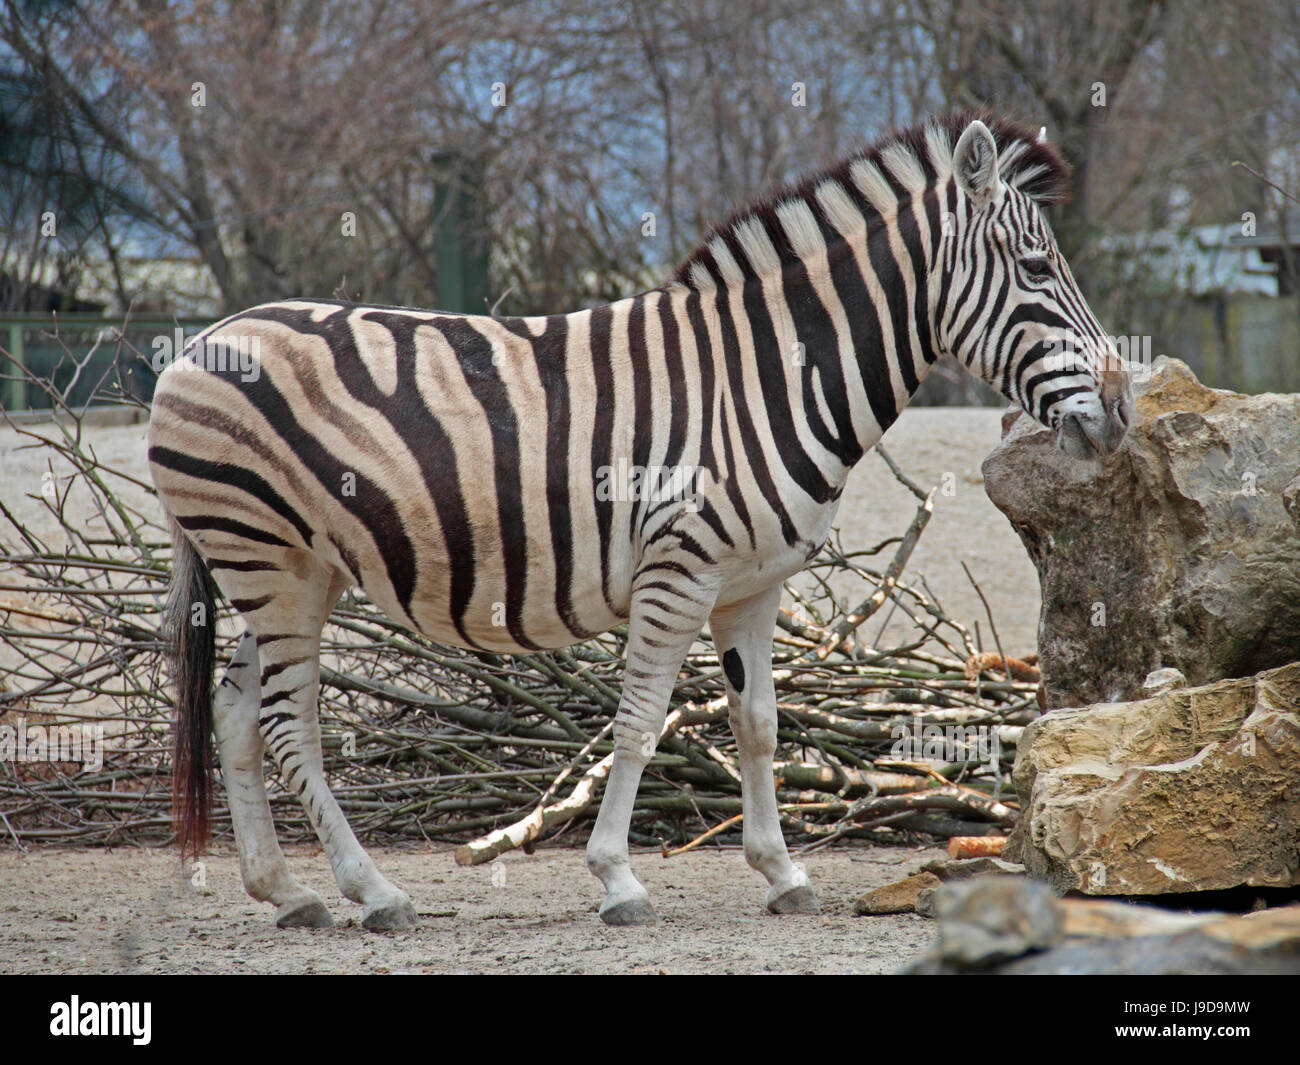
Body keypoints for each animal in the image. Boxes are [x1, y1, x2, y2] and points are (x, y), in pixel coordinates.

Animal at [148, 112, 1132, 930]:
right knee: (288, 724)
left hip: (290, 569)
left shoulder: (753, 585)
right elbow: (640, 720)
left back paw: (288, 892)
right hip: (267, 559)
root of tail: (197, 343)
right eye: (1038, 270)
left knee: (236, 713)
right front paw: (618, 878)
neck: (765, 376)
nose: (1122, 413)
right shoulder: (679, 569)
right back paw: (373, 890)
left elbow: (758, 722)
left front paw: (782, 874)